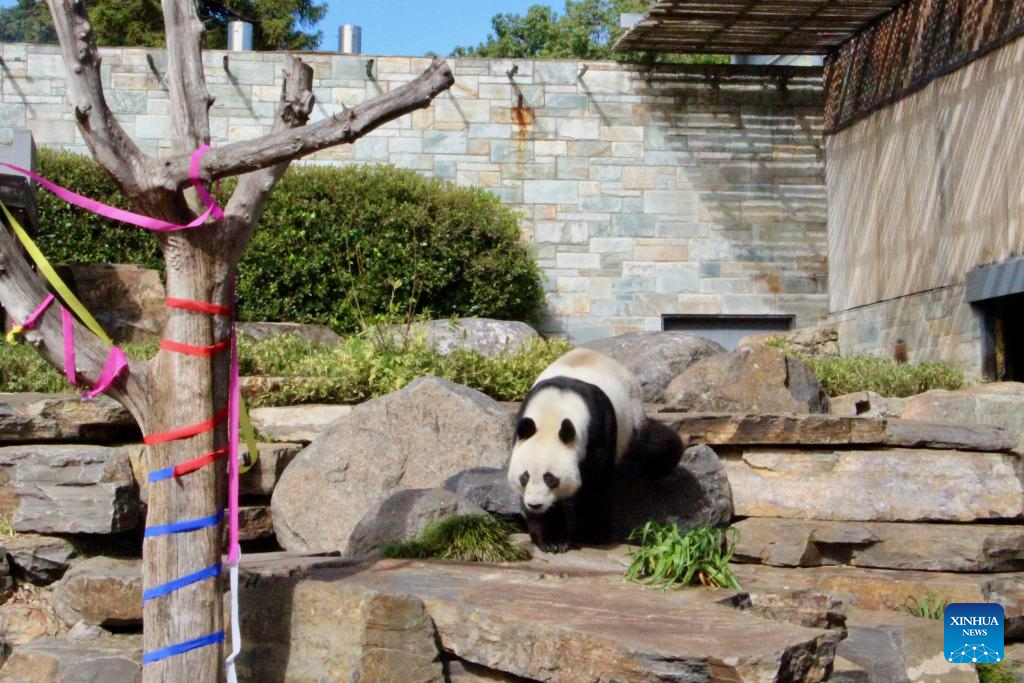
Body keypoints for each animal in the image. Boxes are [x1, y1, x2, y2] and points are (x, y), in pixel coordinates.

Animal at [508, 348, 684, 553]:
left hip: (631, 419)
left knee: (649, 448)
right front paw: (552, 540)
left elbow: (596, 484)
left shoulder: (598, 429)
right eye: (524, 476)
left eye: (550, 478)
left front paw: (590, 534)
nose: (535, 504)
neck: (554, 410)